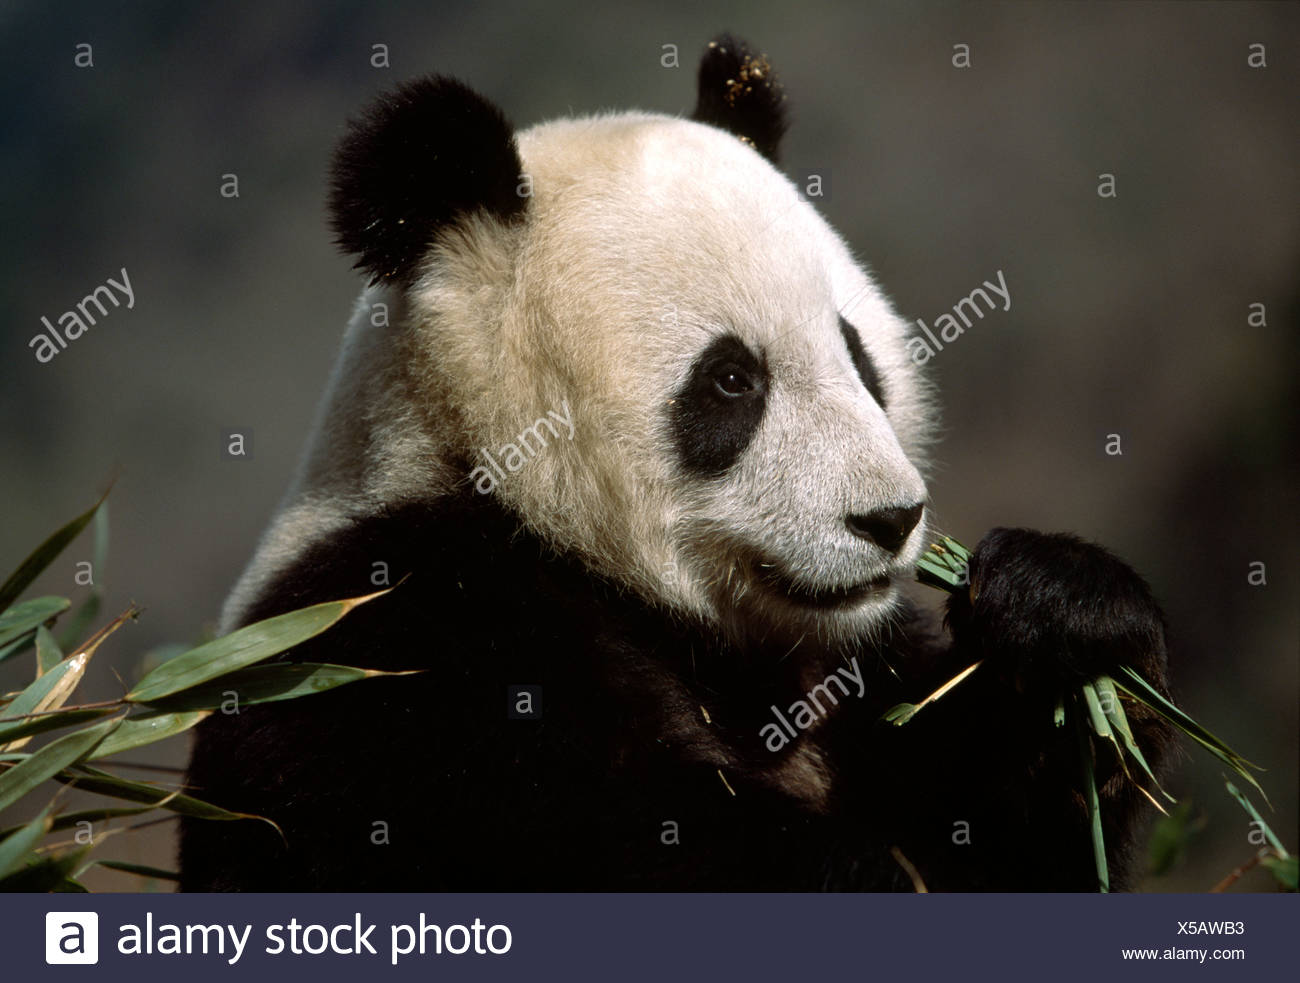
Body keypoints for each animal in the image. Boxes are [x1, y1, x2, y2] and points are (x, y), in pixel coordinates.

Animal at [180, 35, 1174, 892]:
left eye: (859, 357)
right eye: (732, 380)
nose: (890, 518)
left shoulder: (852, 676)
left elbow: (1008, 839)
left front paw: (1063, 613)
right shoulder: (395, 655)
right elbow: (625, 846)